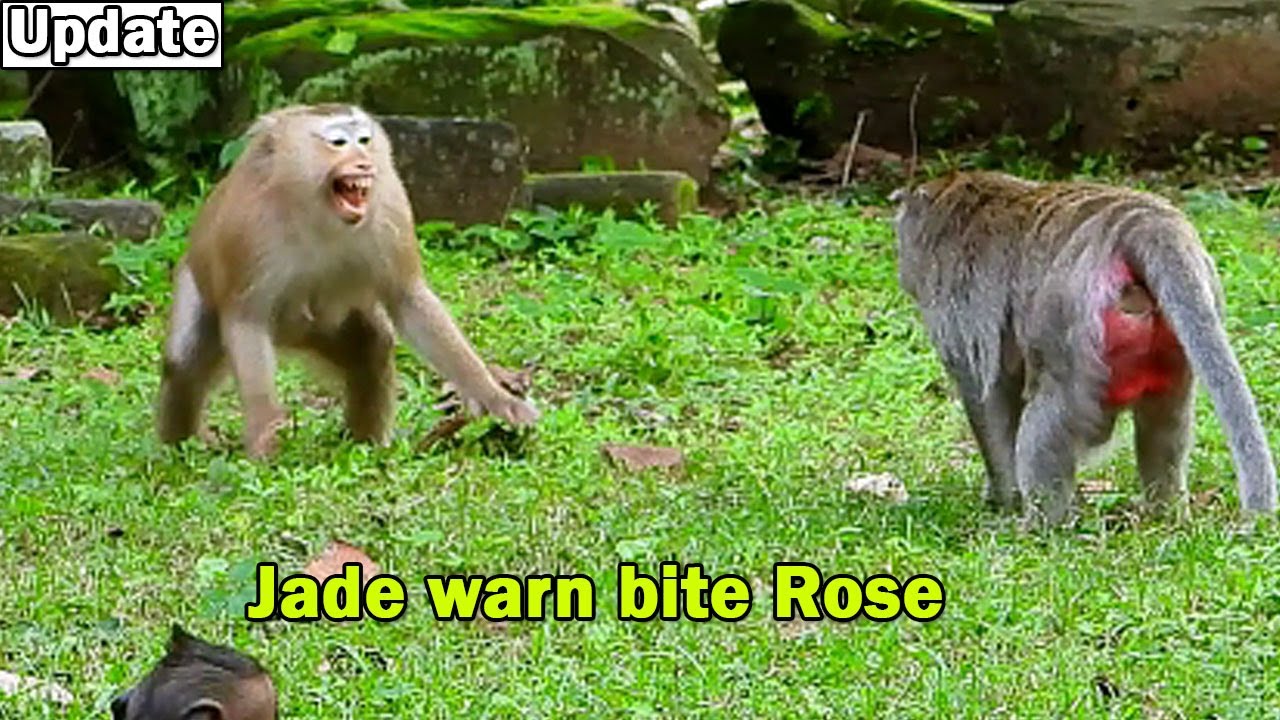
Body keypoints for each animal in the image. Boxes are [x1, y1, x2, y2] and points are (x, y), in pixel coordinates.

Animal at [155, 103, 539, 458]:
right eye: (339, 143)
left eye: (364, 140)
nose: (364, 163)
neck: (315, 208)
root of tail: (291, 339)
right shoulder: (247, 230)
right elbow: (246, 320)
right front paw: (264, 433)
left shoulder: (390, 207)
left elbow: (408, 299)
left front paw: (493, 394)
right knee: (183, 363)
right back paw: (177, 450)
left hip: (323, 330)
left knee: (371, 346)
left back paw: (366, 444)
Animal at [892, 170, 1277, 527]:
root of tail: (1140, 223)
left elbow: (986, 398)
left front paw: (1002, 498)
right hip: (1178, 341)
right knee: (1165, 424)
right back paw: (1165, 514)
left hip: (1078, 340)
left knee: (1046, 418)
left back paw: (1039, 526)